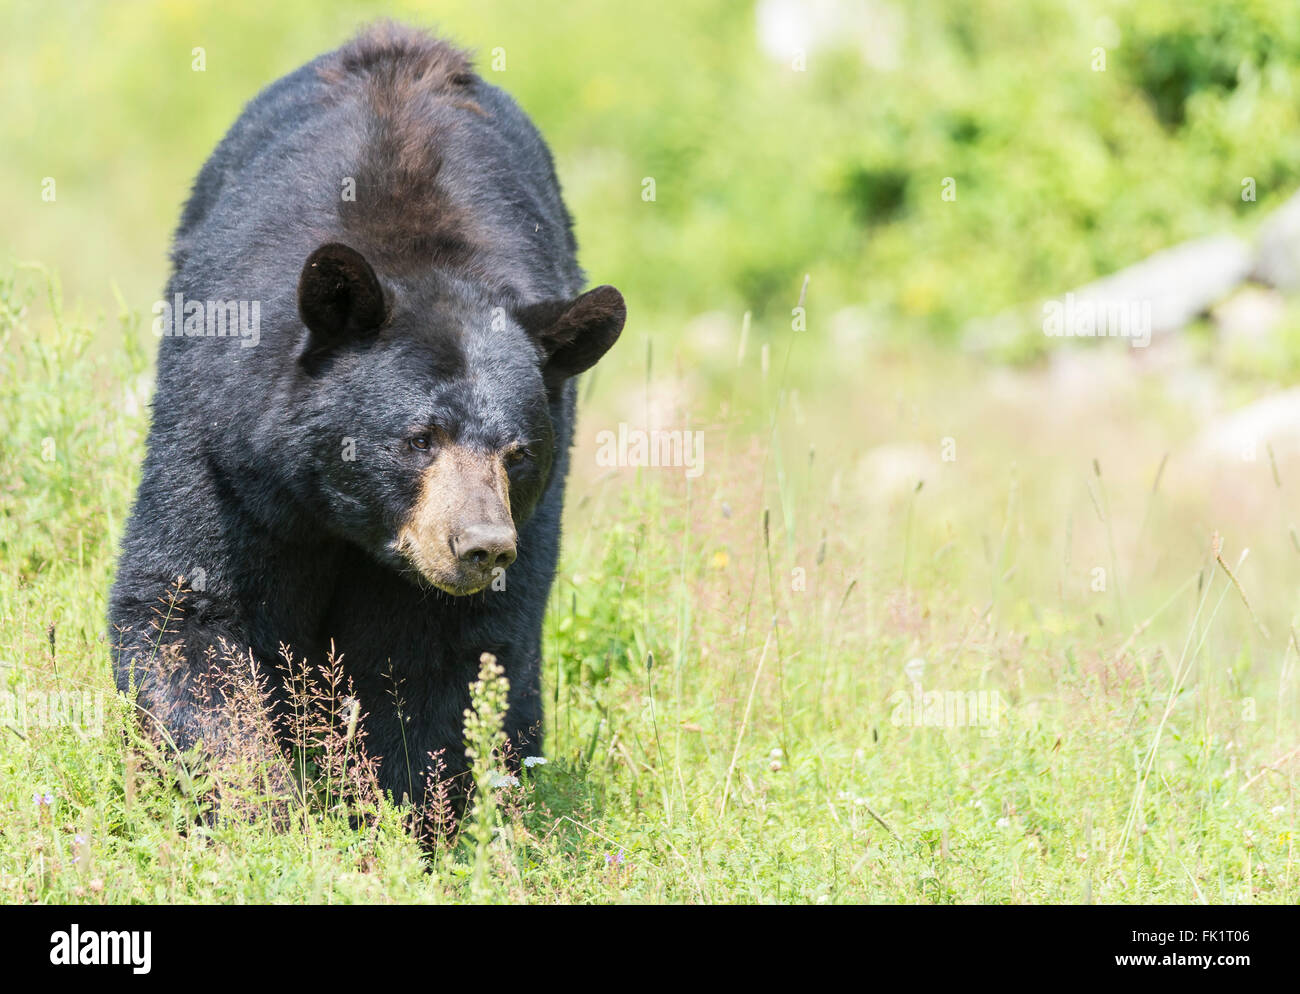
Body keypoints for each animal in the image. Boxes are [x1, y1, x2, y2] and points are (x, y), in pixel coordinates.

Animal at [108, 22, 625, 813]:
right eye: (419, 439)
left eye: (518, 454)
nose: (482, 546)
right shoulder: (226, 446)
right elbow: (188, 606)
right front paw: (264, 804)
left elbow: (447, 661)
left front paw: (415, 814)